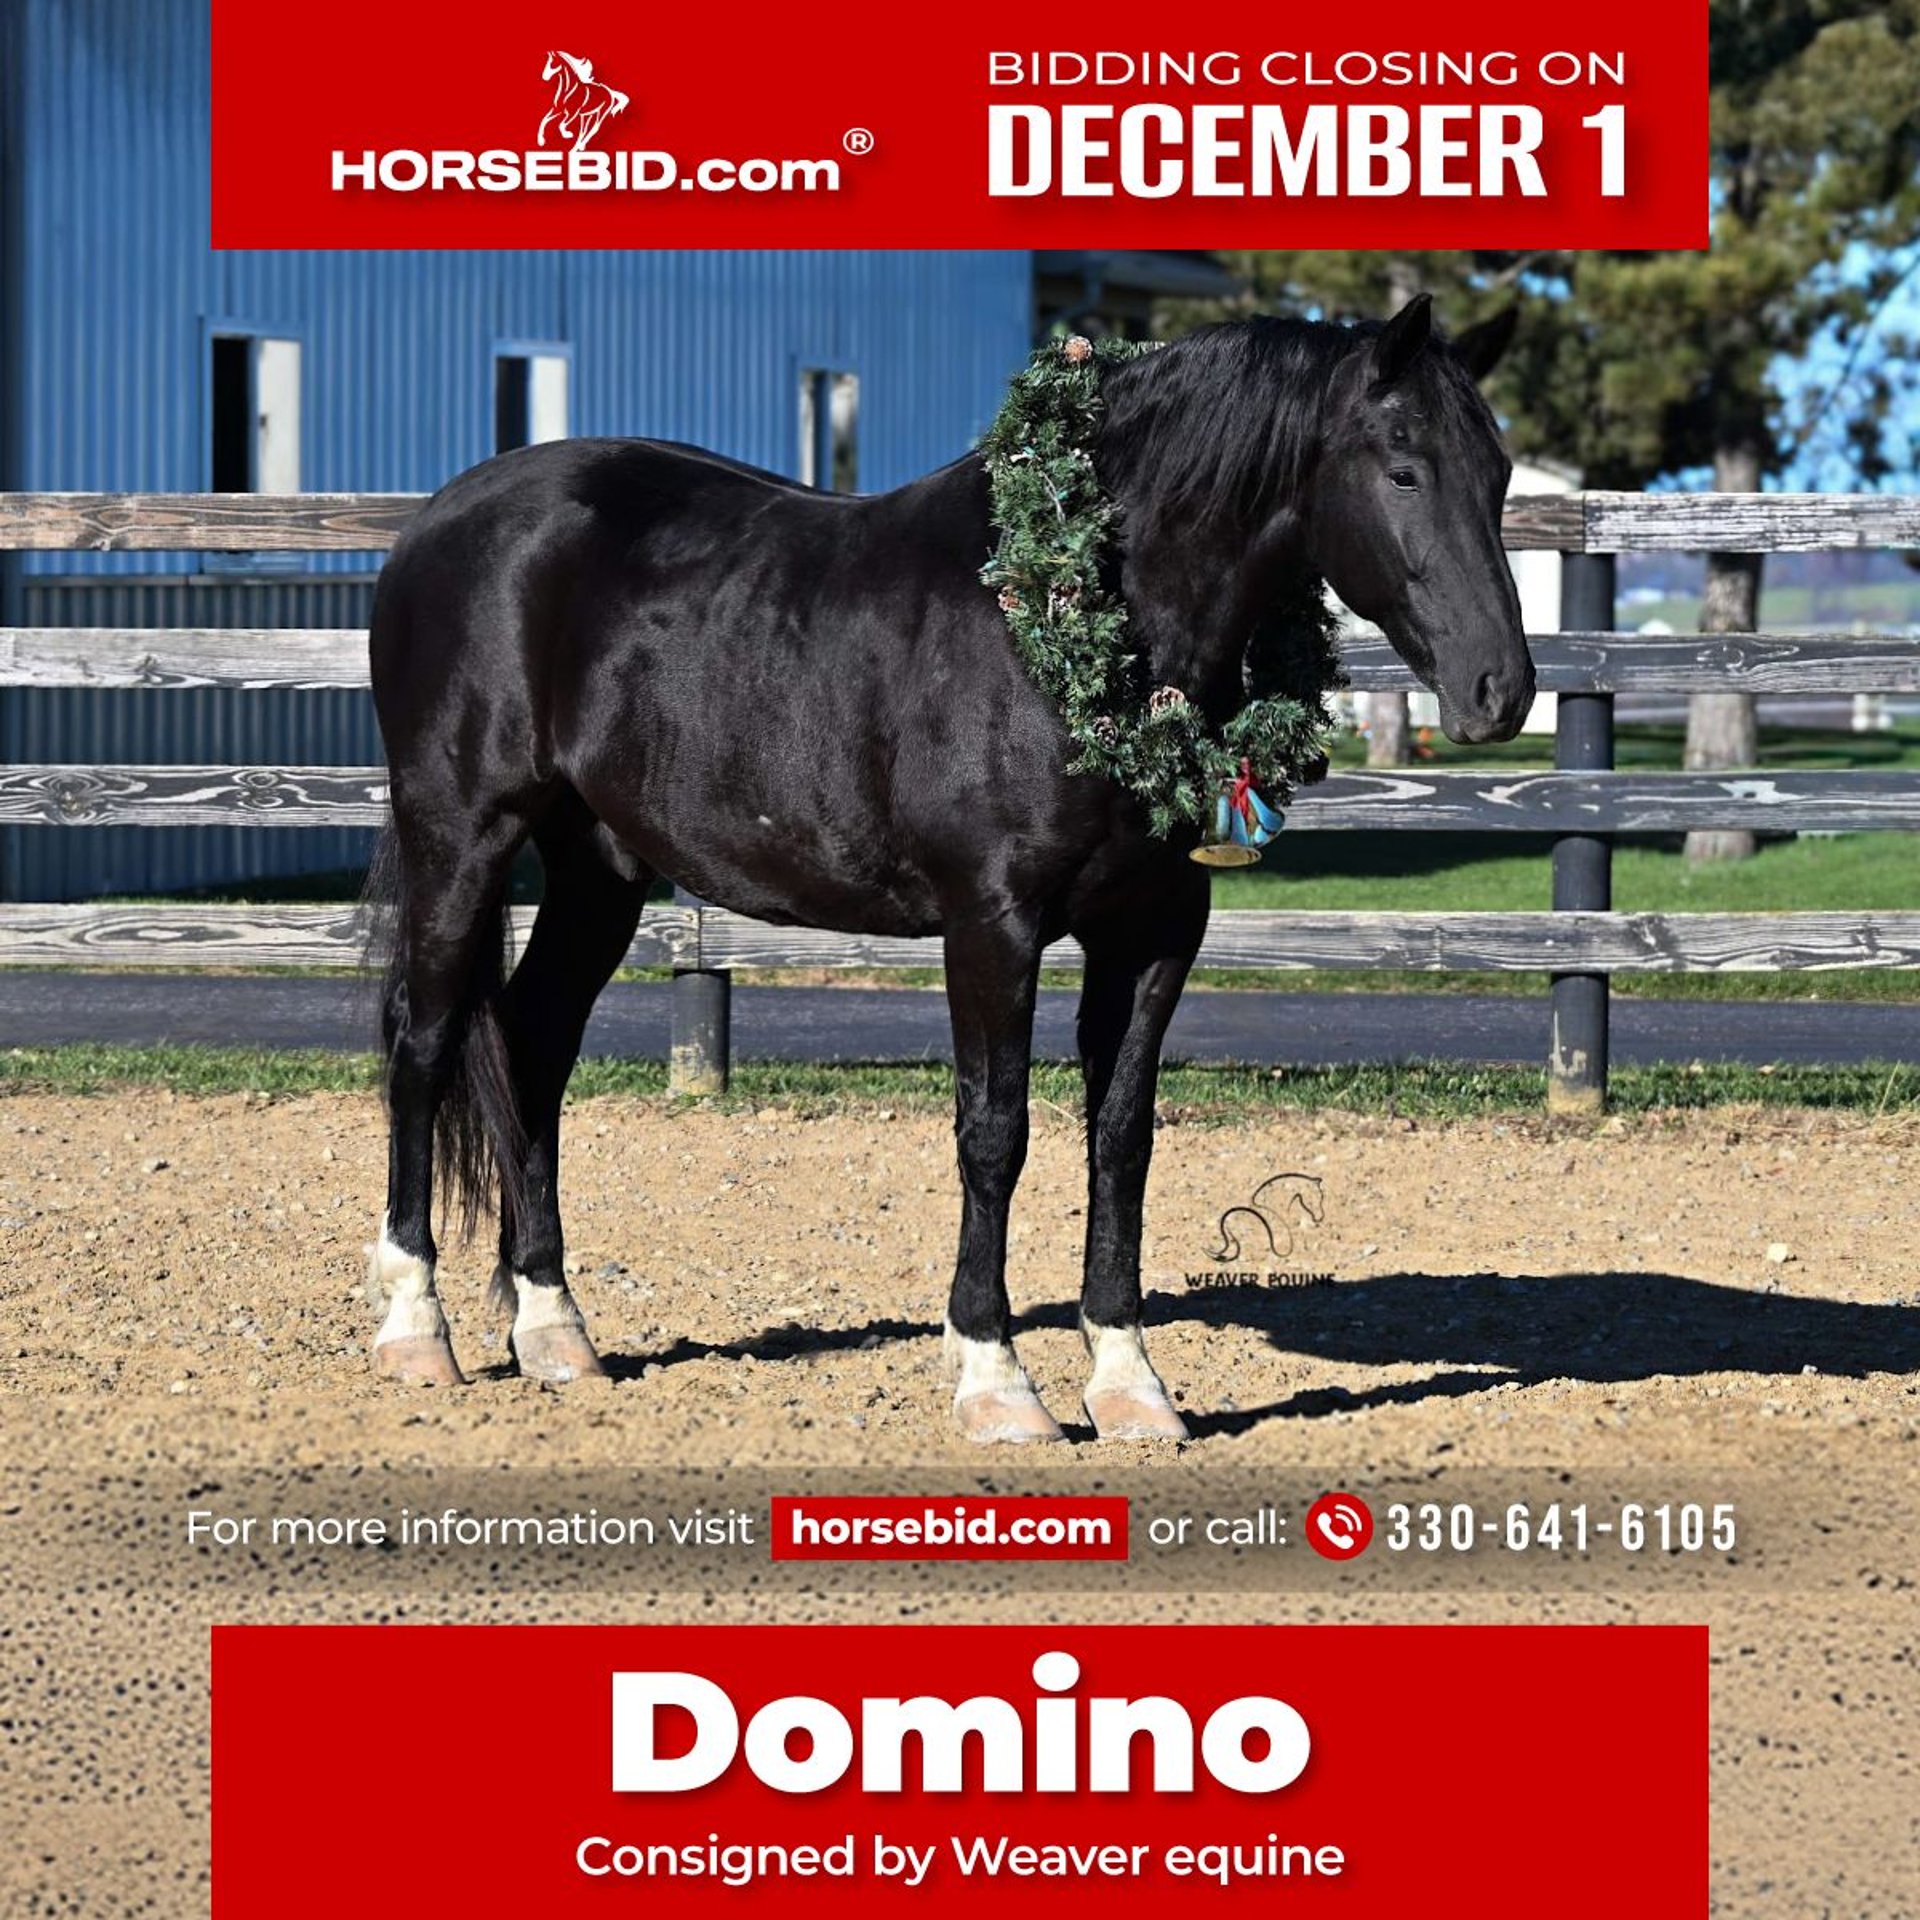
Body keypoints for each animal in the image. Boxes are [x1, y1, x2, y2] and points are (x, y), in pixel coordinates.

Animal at [361, 293, 1531, 1443]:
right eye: (1404, 468)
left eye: (1501, 472)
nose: (1501, 691)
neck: (1063, 620)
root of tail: (437, 524)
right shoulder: (991, 926)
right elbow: (995, 1133)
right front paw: (997, 1379)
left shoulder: (1154, 930)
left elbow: (1121, 1137)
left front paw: (1129, 1383)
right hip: (461, 834)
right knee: (424, 1047)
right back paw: (418, 1331)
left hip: (598, 867)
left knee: (533, 1045)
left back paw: (554, 1330)